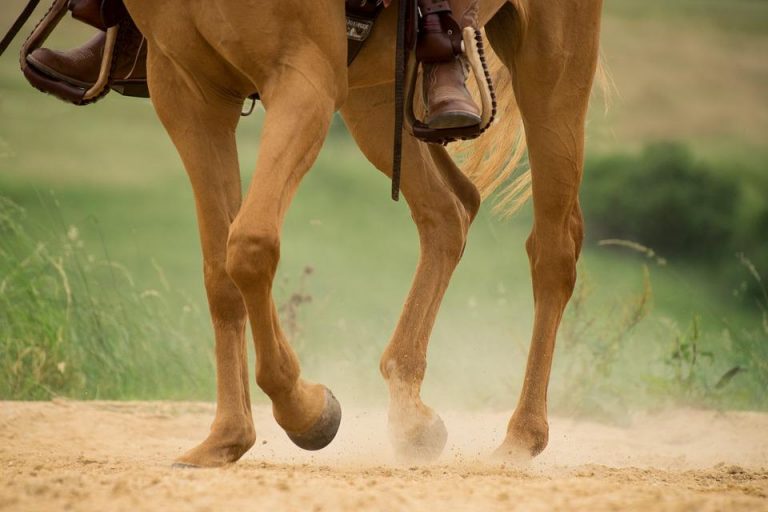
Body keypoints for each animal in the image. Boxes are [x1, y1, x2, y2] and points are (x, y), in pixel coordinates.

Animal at [121, 0, 603, 466]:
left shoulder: (304, 78)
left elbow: (249, 247)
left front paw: (306, 412)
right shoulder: (186, 90)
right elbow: (220, 271)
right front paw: (227, 437)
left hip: (552, 65)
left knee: (553, 251)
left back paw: (522, 436)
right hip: (377, 95)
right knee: (450, 210)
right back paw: (411, 417)